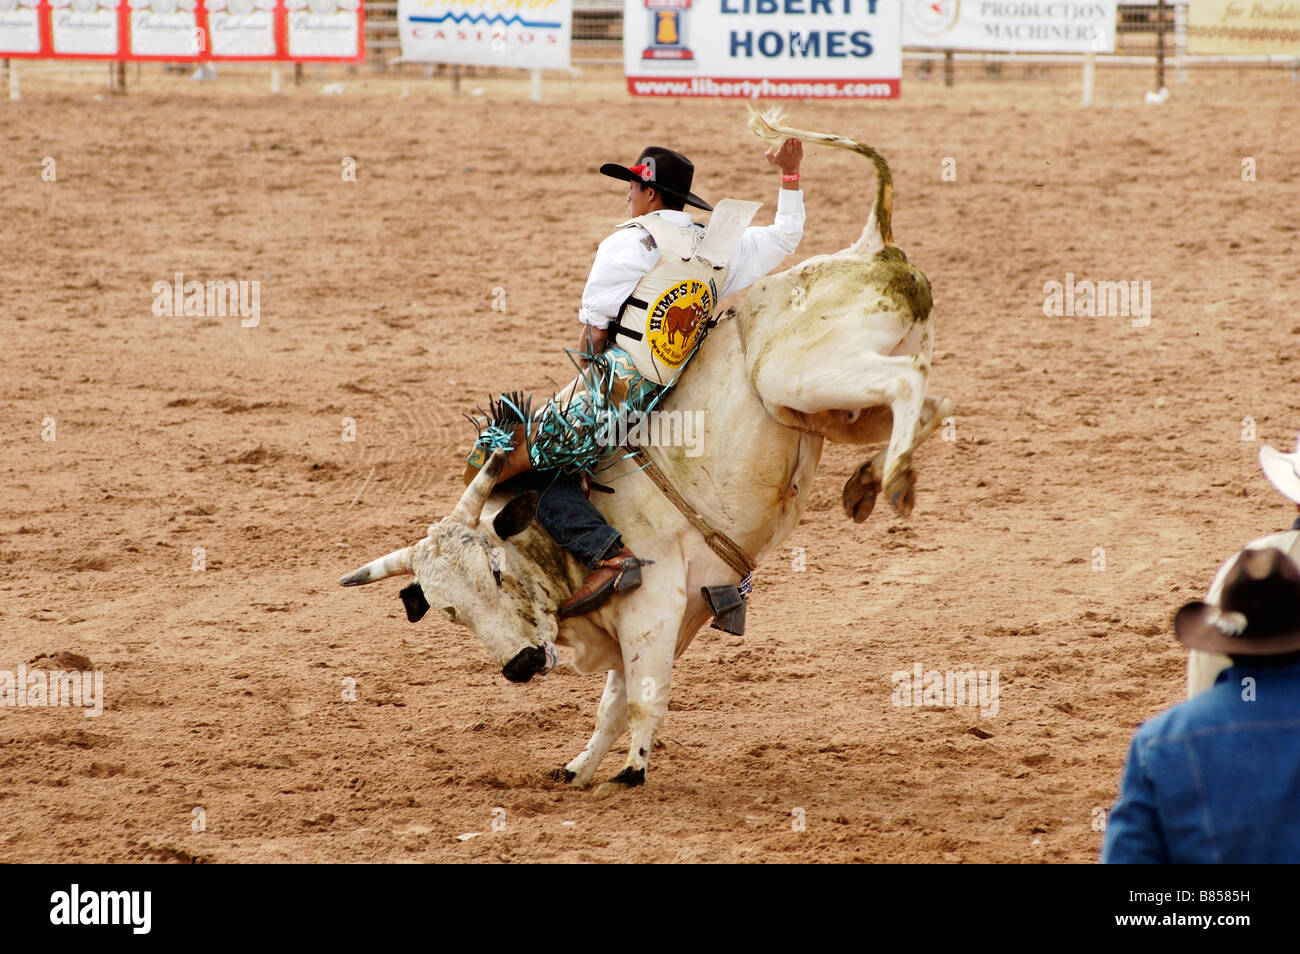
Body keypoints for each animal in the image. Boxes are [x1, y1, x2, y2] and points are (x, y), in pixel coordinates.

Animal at [340, 108, 953, 793]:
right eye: (449, 611)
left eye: (496, 571)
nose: (520, 665)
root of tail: (874, 246)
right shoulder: (679, 615)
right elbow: (614, 699)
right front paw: (579, 767)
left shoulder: (654, 603)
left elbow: (640, 696)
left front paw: (631, 770)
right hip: (828, 409)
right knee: (928, 400)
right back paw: (871, 485)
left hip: (797, 377)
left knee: (909, 385)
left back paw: (892, 479)